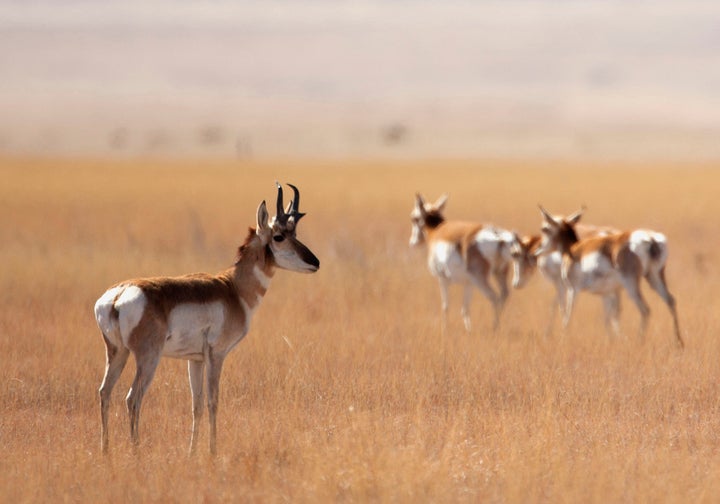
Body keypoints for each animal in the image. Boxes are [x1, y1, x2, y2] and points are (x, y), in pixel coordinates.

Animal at [94, 183, 320, 455]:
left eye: (294, 232)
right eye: (279, 236)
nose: (315, 262)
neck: (232, 288)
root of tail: (119, 295)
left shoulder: (195, 360)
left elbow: (197, 405)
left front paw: (192, 453)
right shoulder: (216, 355)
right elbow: (213, 401)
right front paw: (213, 452)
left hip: (118, 353)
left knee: (105, 392)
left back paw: (106, 452)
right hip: (148, 358)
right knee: (132, 399)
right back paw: (136, 453)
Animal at [409, 193, 518, 333]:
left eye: (414, 218)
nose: (413, 242)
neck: (437, 230)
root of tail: (498, 236)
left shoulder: (442, 278)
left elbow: (445, 306)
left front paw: (445, 330)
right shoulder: (468, 283)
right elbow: (465, 310)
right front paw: (468, 331)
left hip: (479, 279)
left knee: (494, 297)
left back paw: (494, 328)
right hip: (499, 273)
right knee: (504, 295)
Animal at [534, 205, 683, 347]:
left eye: (544, 229)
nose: (537, 251)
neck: (573, 249)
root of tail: (651, 239)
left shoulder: (573, 289)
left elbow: (567, 316)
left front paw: (563, 339)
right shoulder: (606, 293)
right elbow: (607, 319)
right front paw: (611, 342)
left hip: (631, 284)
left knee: (645, 309)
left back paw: (639, 342)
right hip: (654, 276)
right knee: (671, 301)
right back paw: (678, 342)